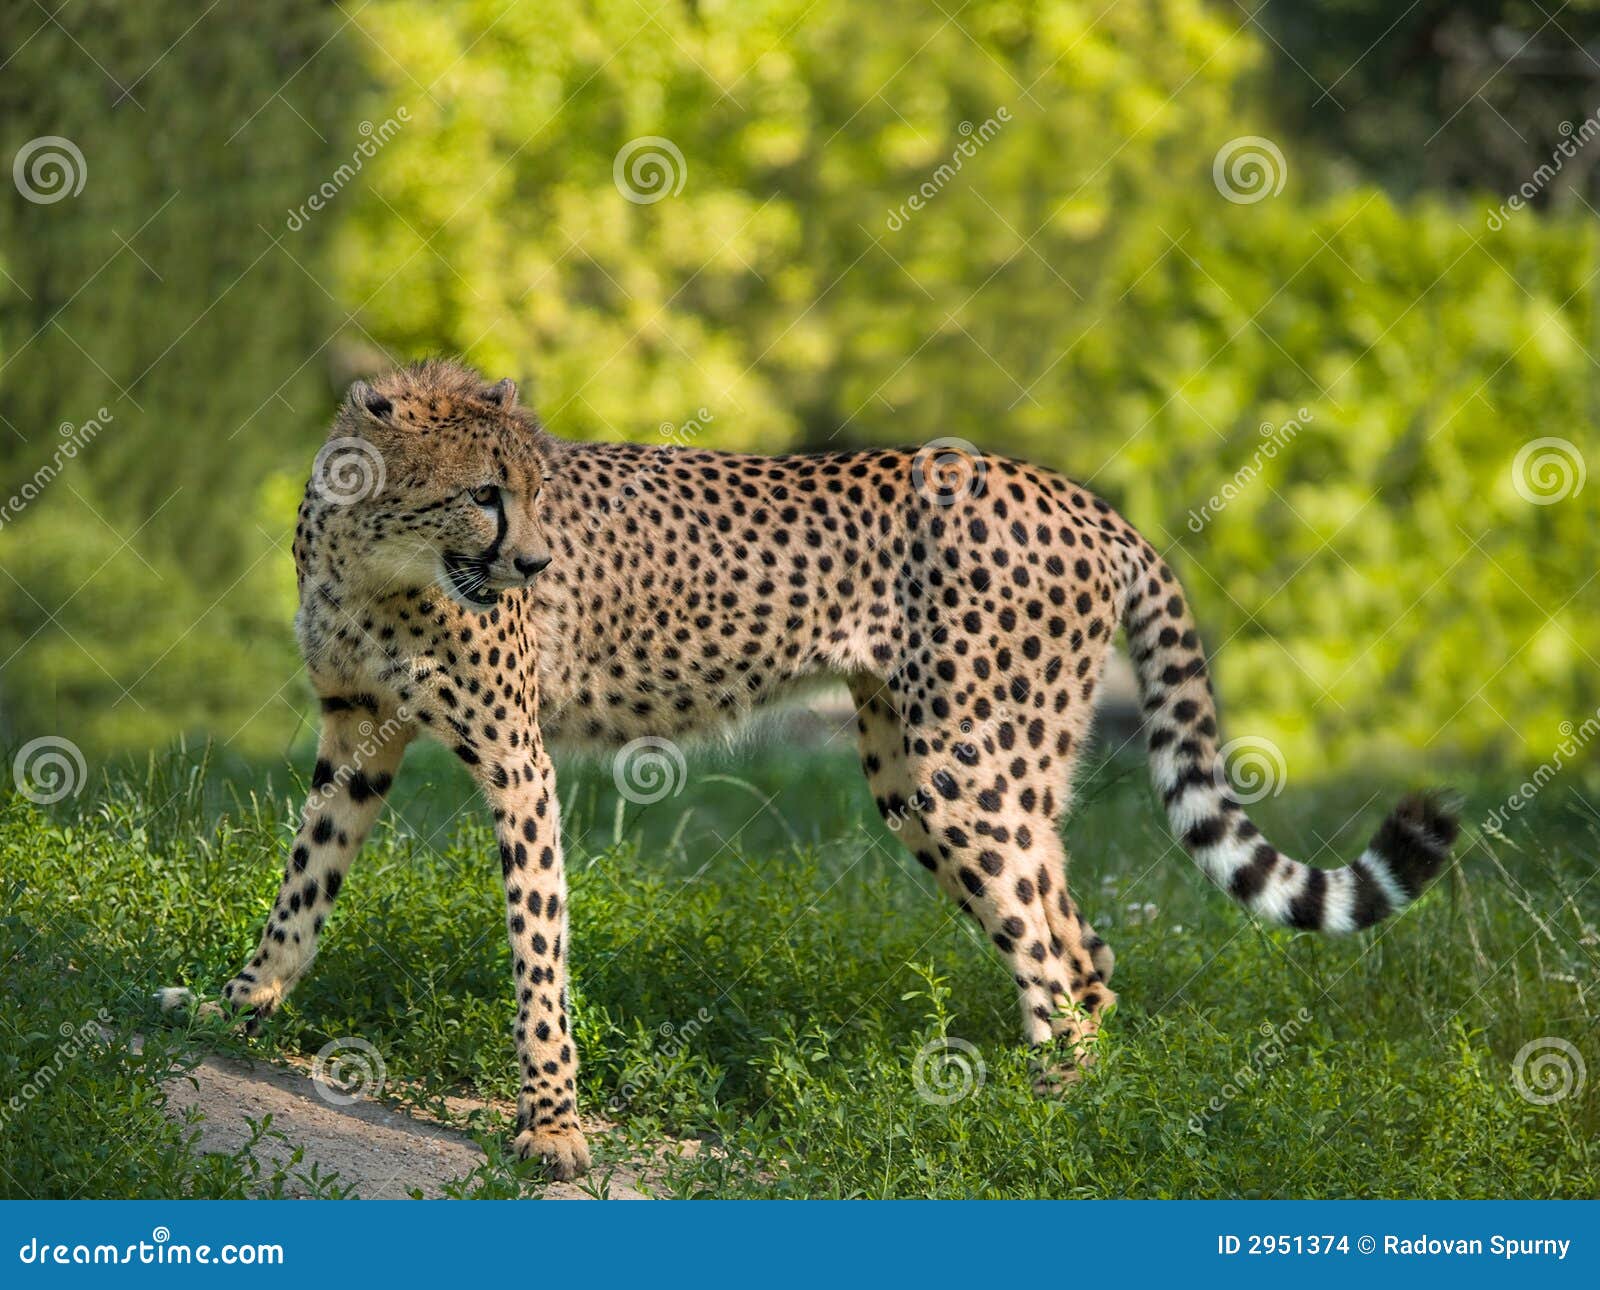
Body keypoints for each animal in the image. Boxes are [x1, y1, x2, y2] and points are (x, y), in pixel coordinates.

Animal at [163, 359, 1458, 1181]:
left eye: (533, 493)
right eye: (486, 493)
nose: (531, 564)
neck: (377, 559)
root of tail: (1074, 494)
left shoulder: (515, 760)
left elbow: (537, 946)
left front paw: (552, 1128)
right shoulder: (357, 733)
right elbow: (304, 882)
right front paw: (241, 1002)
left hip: (963, 770)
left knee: (1054, 956)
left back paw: (1047, 1129)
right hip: (941, 774)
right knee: (1082, 946)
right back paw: (1071, 1108)